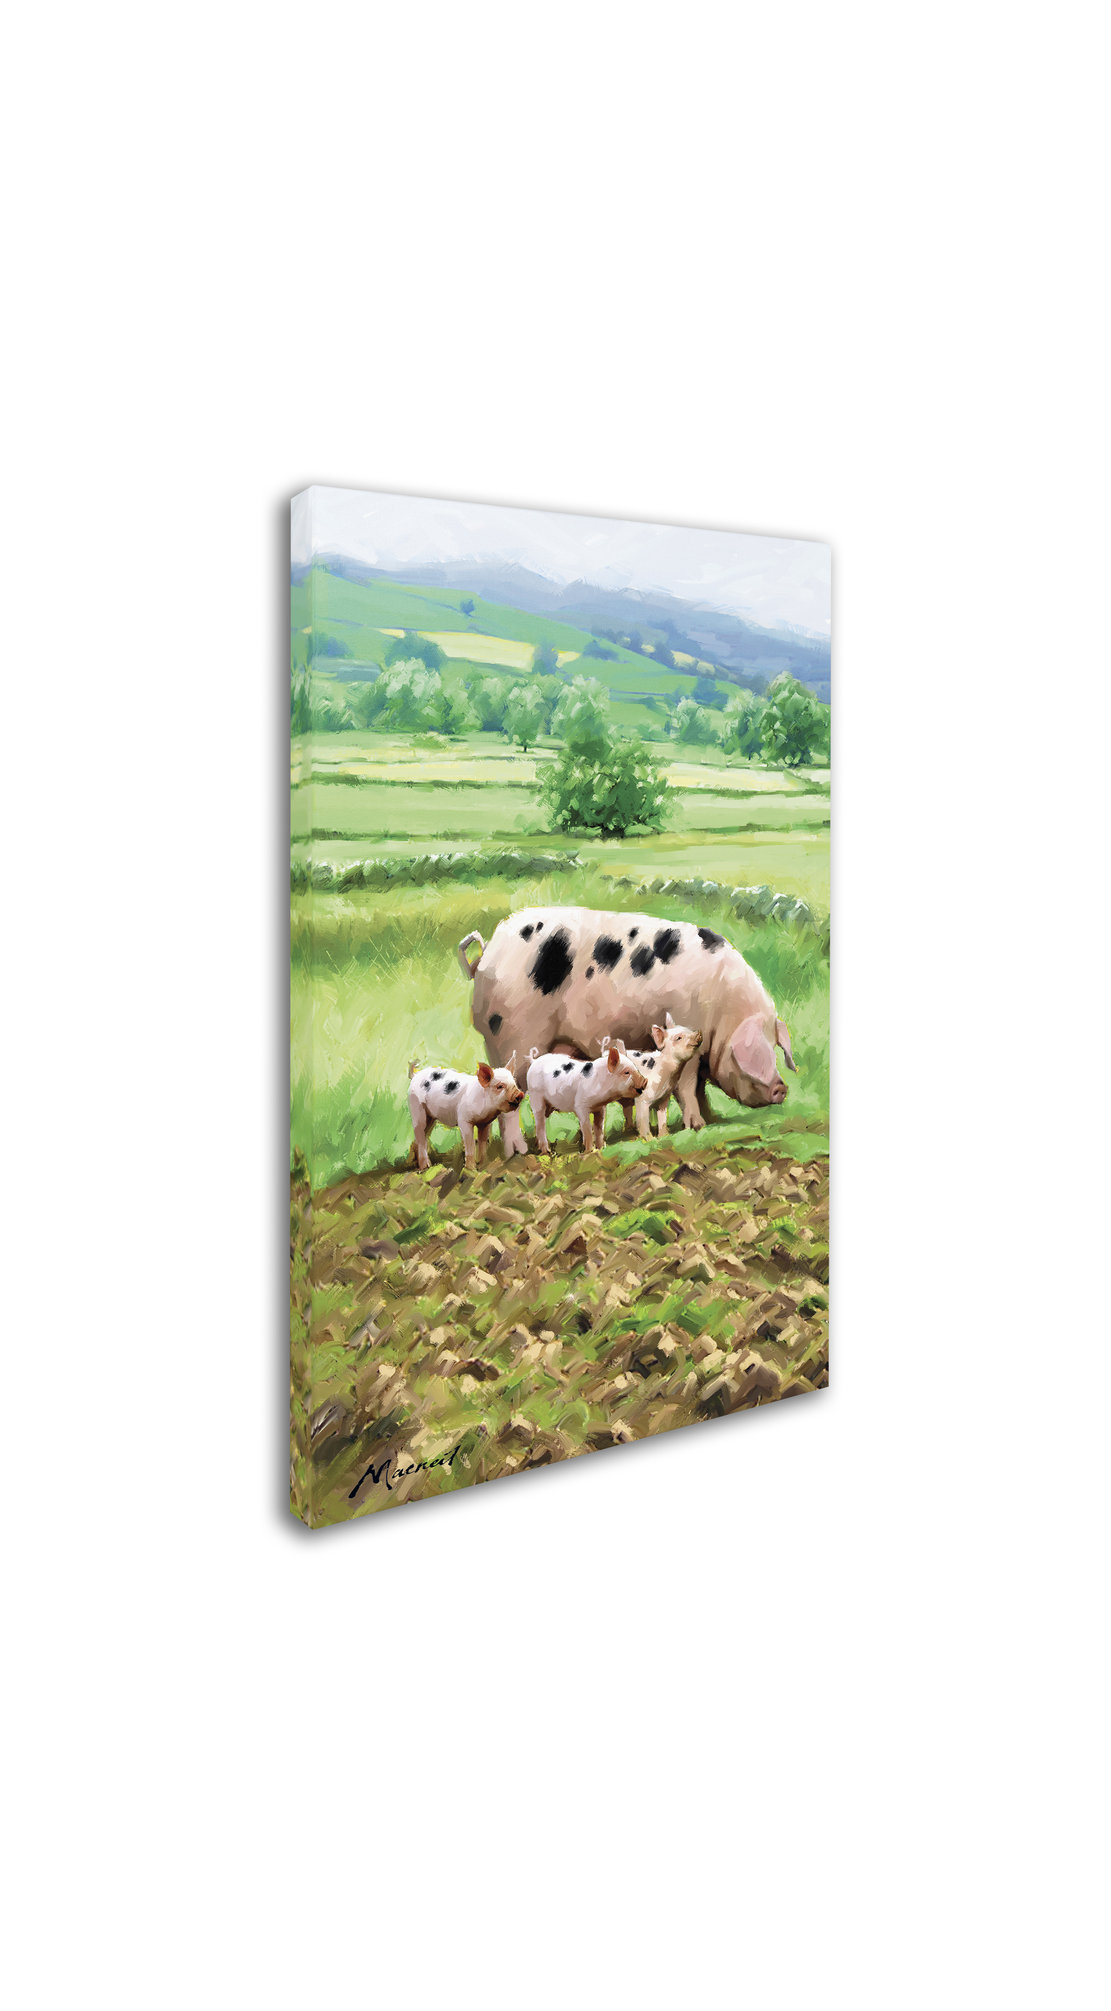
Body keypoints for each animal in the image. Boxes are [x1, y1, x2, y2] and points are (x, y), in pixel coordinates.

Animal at [458, 905, 796, 1131]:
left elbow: (698, 1086)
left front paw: (712, 1120)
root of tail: (485, 956)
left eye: (775, 1047)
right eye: (755, 1051)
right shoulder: (688, 1027)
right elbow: (688, 1085)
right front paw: (698, 1126)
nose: (781, 1087)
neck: (723, 1008)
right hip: (511, 1037)